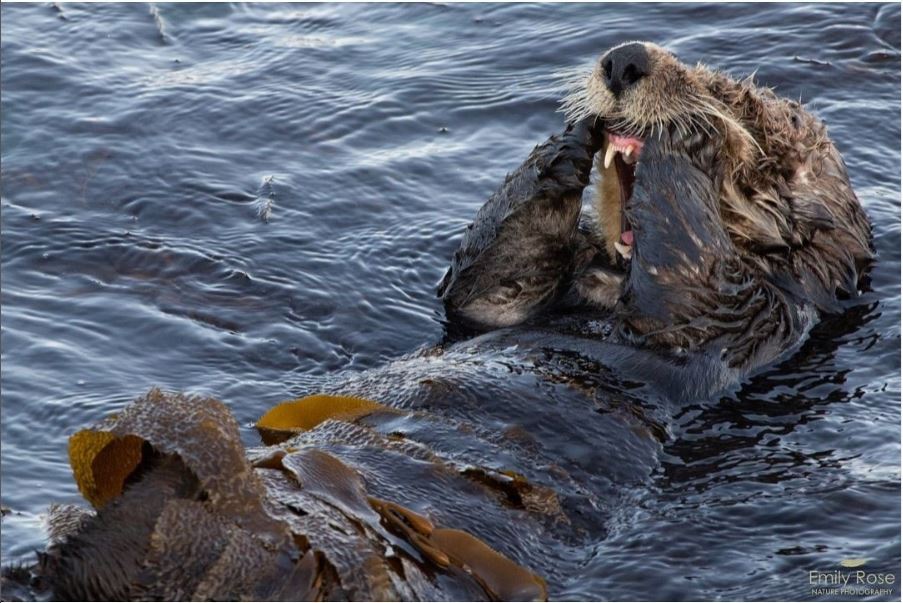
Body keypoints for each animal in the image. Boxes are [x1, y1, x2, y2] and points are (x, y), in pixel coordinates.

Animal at [5, 43, 873, 601]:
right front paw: (561, 149)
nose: (627, 59)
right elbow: (485, 286)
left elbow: (686, 277)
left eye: (737, 101)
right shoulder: (504, 300)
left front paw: (680, 140)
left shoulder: (742, 316)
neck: (601, 289)